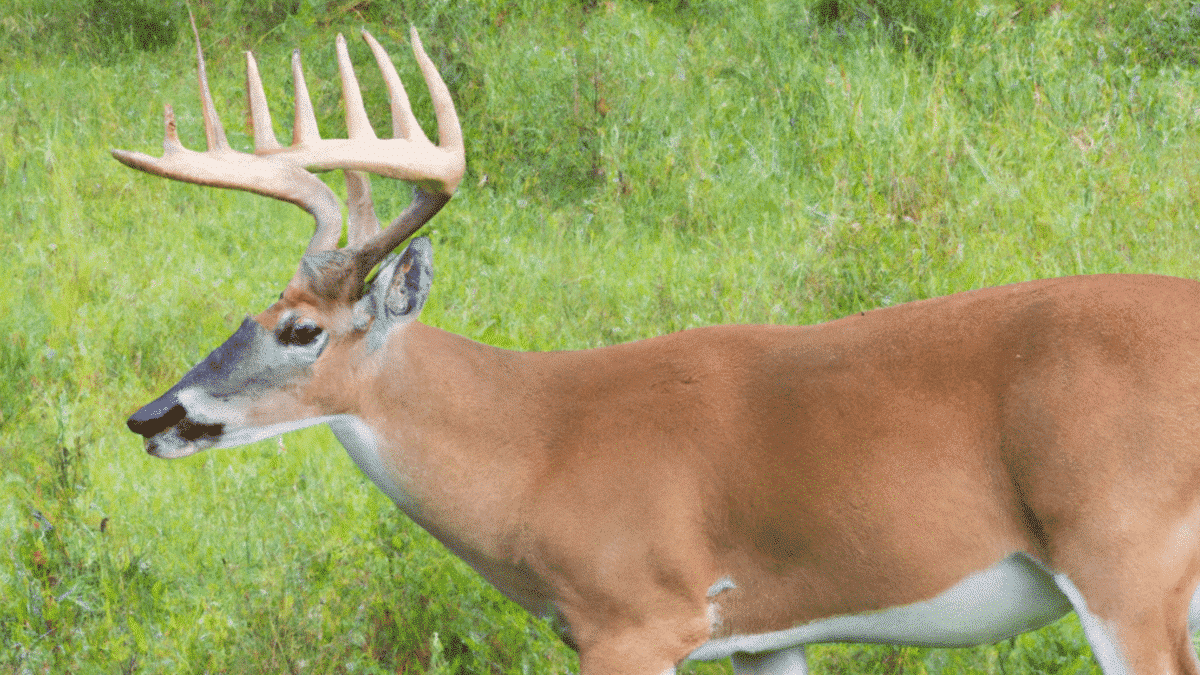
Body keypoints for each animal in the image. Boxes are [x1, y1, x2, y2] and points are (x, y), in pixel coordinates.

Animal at [114, 21, 1200, 675]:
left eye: (302, 328)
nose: (152, 415)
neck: (535, 447)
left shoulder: (633, 616)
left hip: (1125, 554)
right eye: (248, 312)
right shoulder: (764, 629)